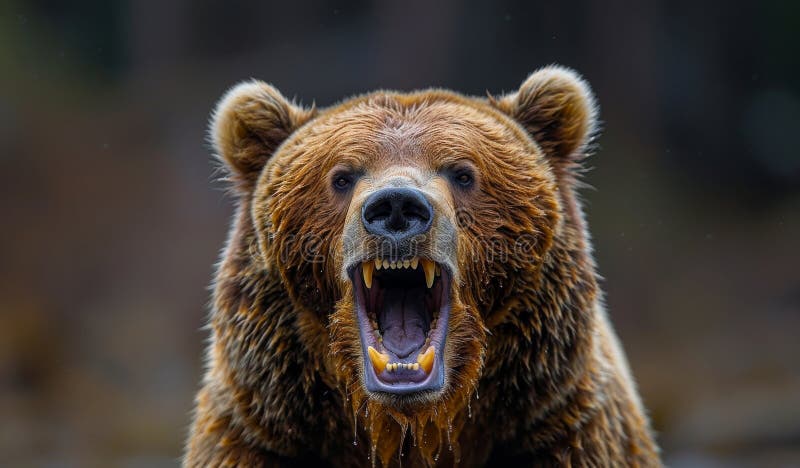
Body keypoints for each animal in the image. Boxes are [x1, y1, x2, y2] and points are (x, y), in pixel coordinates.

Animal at [184, 66, 661, 467]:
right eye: (342, 176)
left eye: (463, 173)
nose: (396, 206)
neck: (412, 425)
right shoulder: (262, 438)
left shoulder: (560, 432)